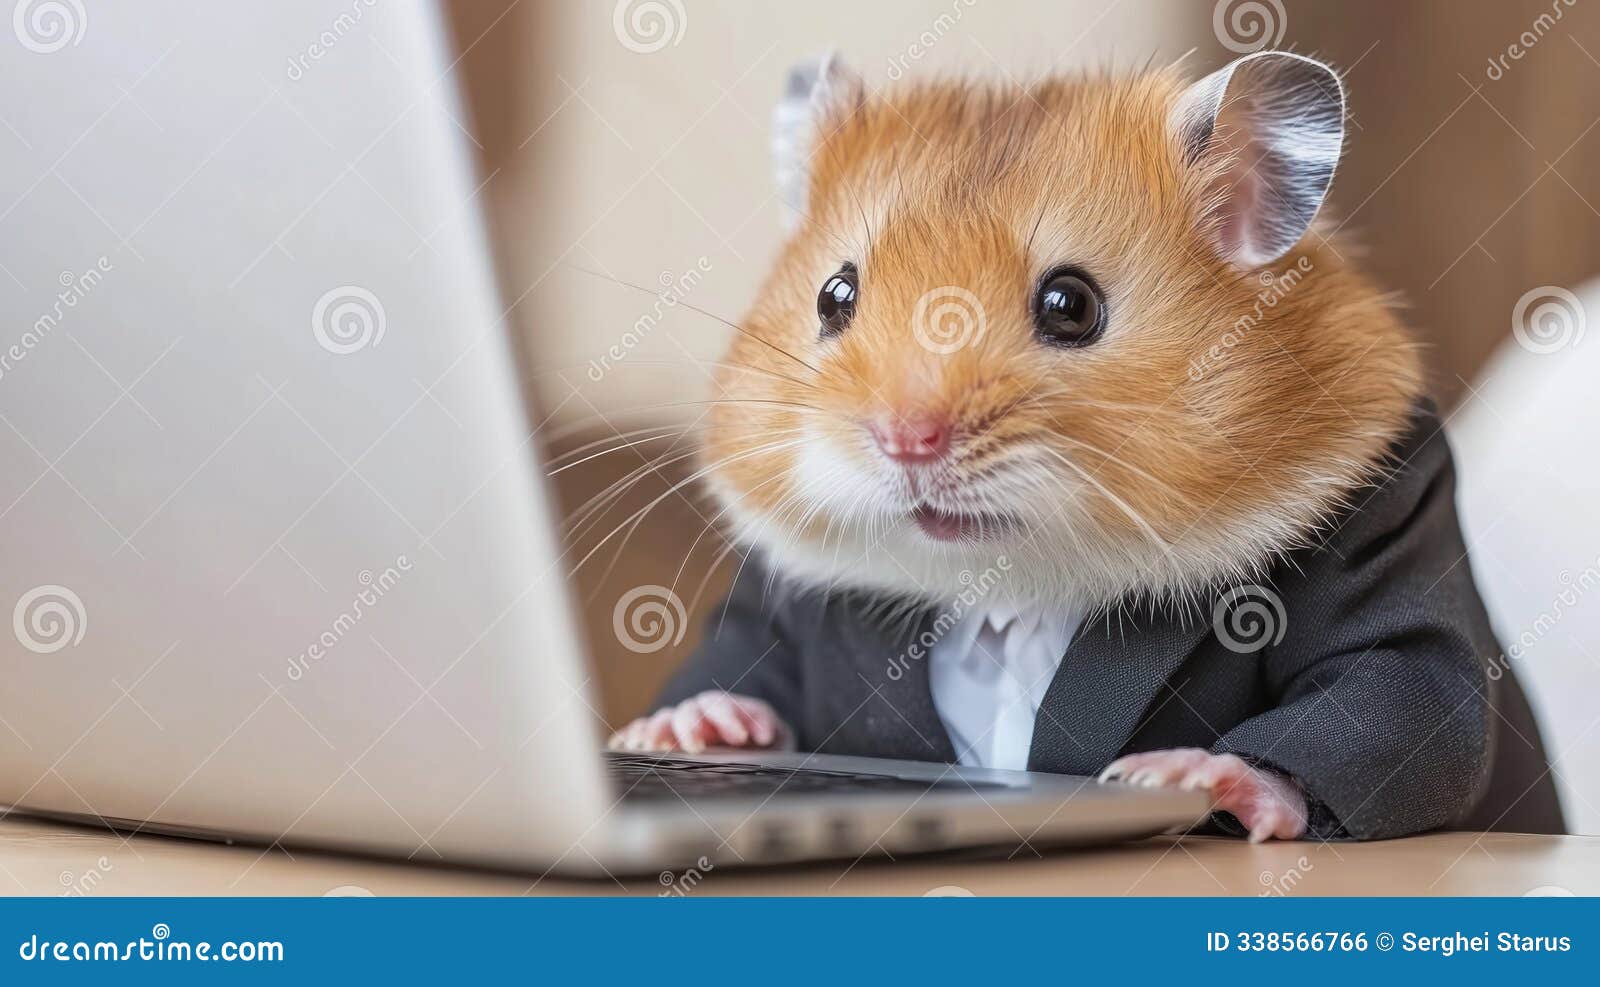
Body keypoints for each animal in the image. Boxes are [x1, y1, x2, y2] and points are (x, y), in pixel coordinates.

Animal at [608, 52, 1513, 843]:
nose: (906, 440)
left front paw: (1182, 774)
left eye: (1070, 305)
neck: (1013, 581)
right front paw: (694, 724)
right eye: (834, 295)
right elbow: (743, 654)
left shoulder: (1388, 537)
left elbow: (1400, 689)